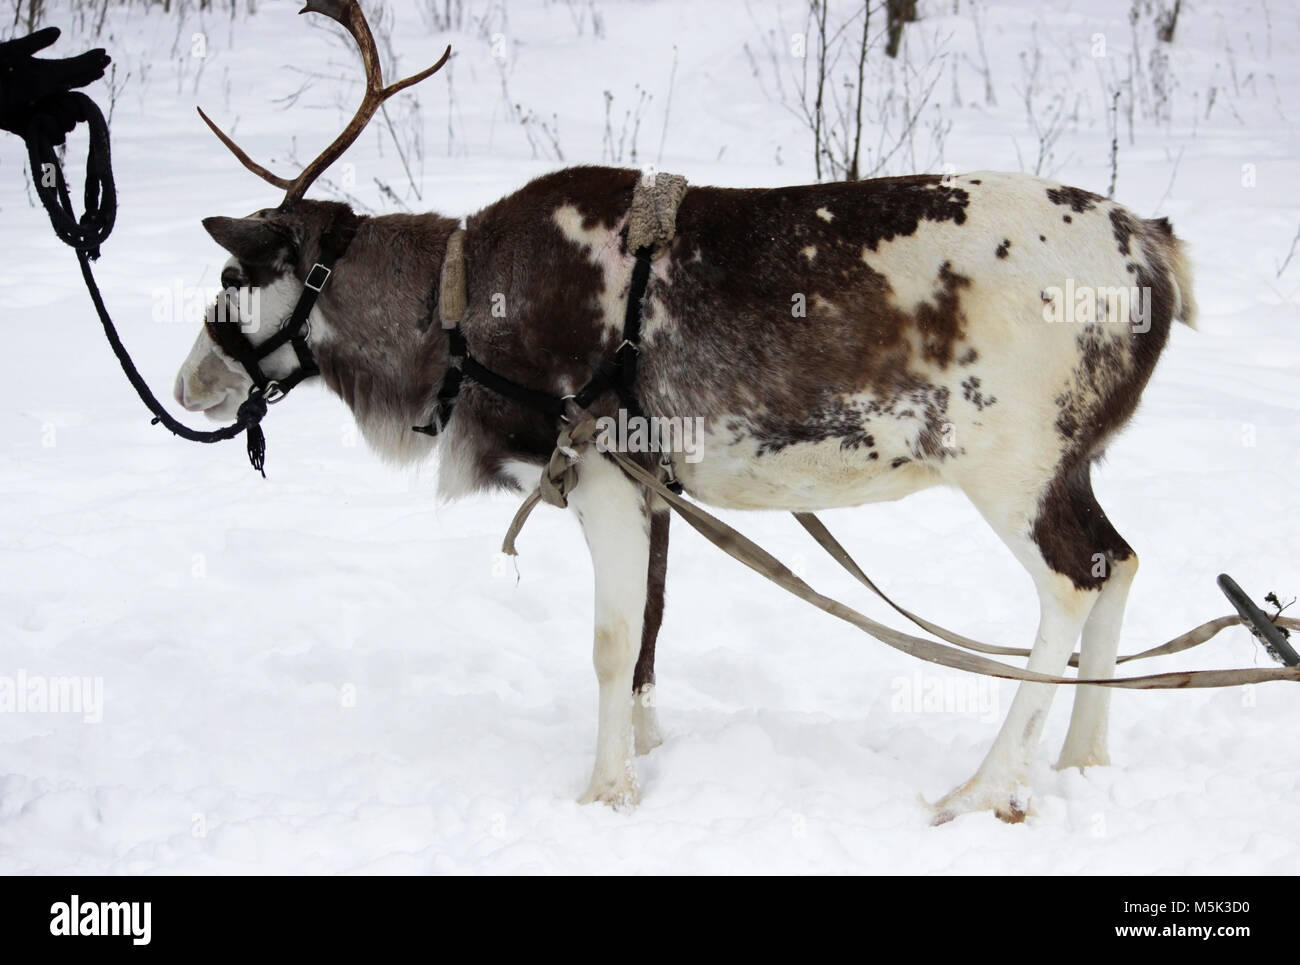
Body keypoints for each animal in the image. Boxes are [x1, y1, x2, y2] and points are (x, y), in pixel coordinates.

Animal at [174, 0, 1196, 823]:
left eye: (232, 274)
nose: (188, 384)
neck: (458, 322)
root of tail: (1157, 252)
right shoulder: (655, 484)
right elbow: (650, 635)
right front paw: (648, 754)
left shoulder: (595, 467)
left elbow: (608, 640)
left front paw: (604, 793)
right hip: (1072, 461)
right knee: (1121, 557)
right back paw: (1082, 757)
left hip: (1007, 461)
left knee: (1071, 581)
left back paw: (984, 786)